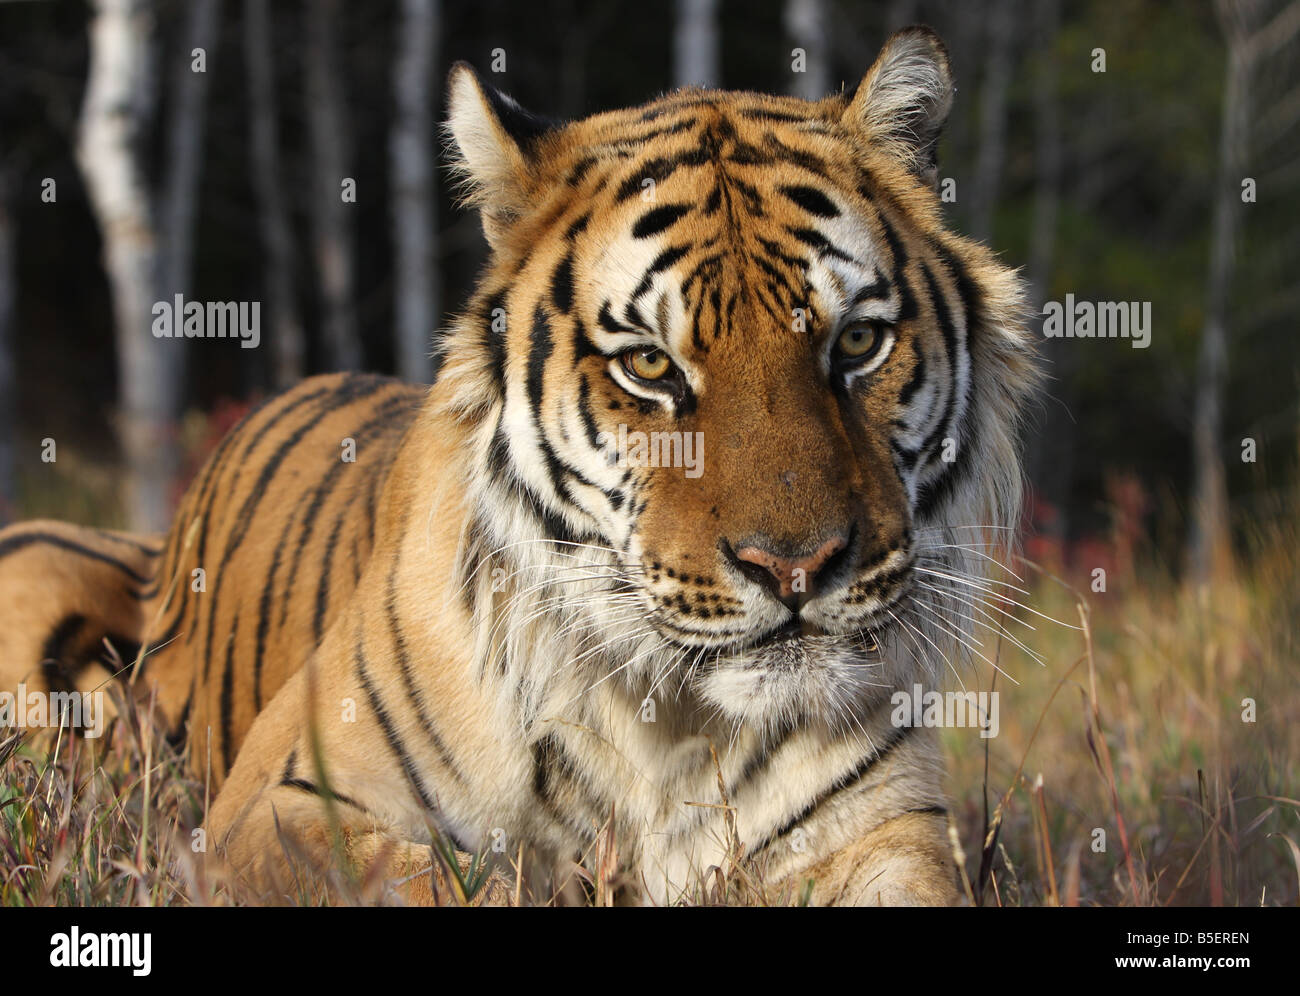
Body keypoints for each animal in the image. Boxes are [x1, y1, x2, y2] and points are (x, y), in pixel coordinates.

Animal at [0, 26, 1039, 905]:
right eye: (650, 365)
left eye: (857, 341)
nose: (796, 568)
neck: (675, 725)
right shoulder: (272, 806)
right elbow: (431, 880)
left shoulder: (890, 836)